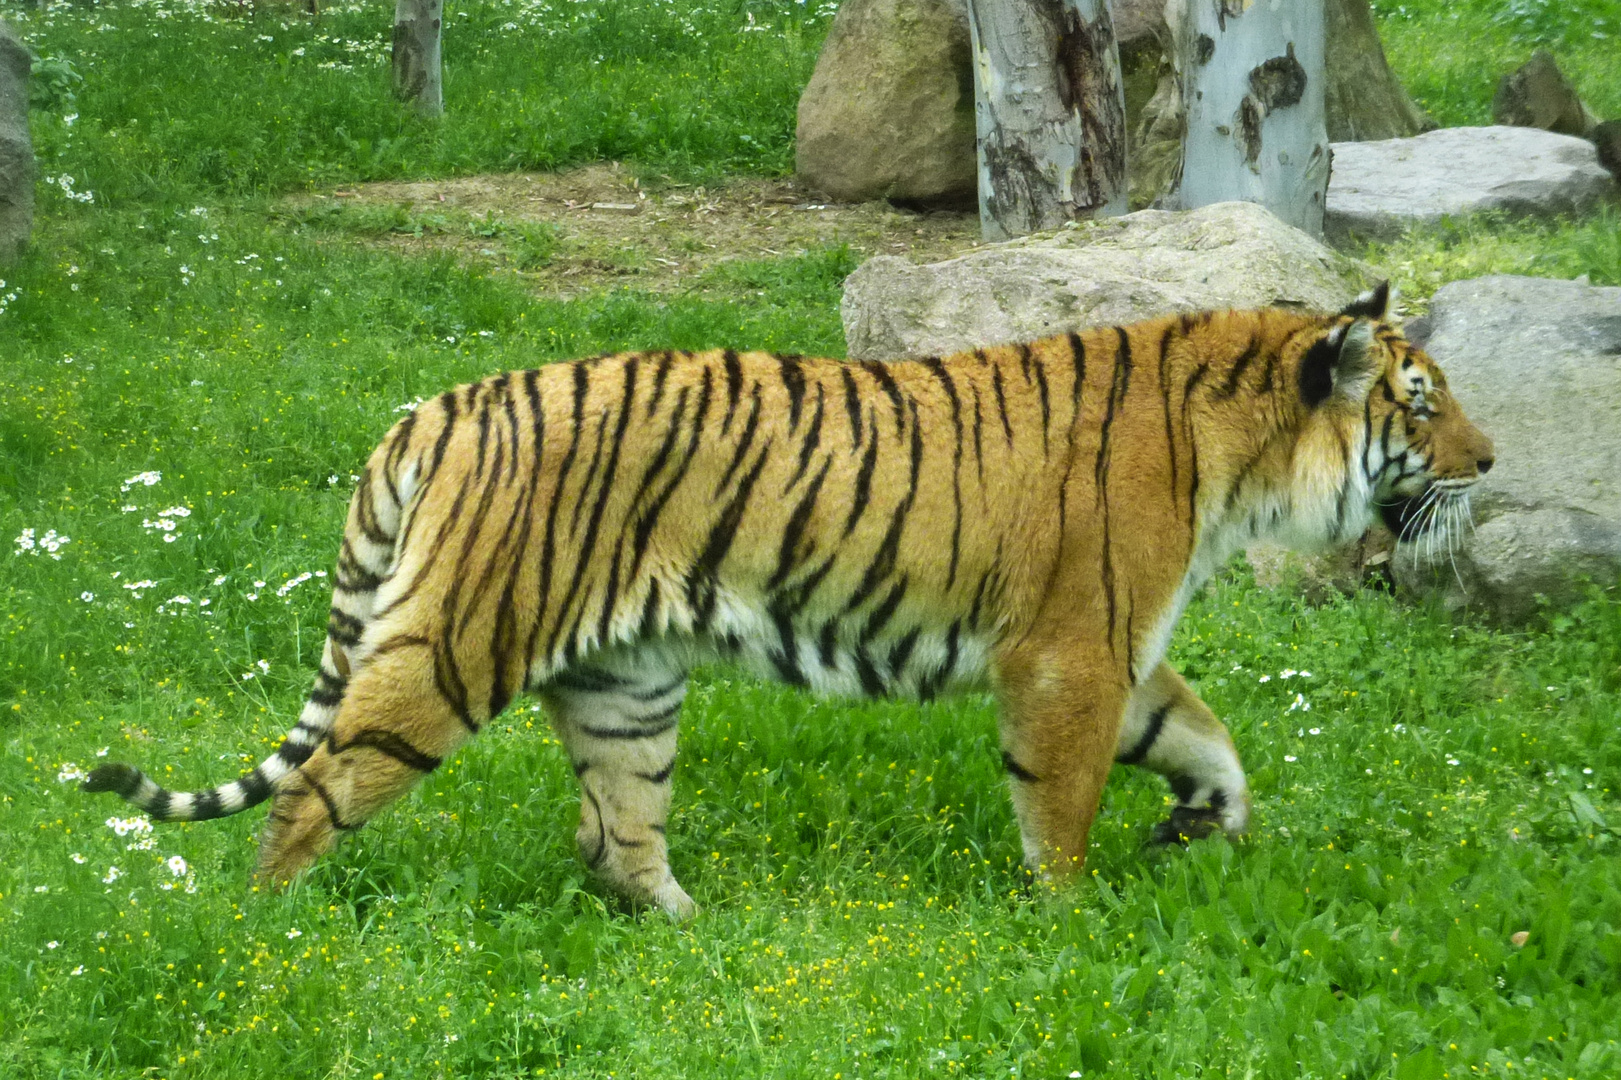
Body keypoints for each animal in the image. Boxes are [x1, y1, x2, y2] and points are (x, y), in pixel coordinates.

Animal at [85, 281, 1494, 919]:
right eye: (1420, 404)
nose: (1489, 466)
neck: (1244, 454)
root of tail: (435, 408)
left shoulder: (1117, 645)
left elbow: (1207, 736)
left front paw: (1209, 822)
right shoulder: (1070, 651)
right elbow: (1065, 801)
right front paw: (1066, 916)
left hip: (625, 688)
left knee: (618, 827)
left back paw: (688, 933)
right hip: (448, 651)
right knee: (318, 793)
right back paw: (278, 936)